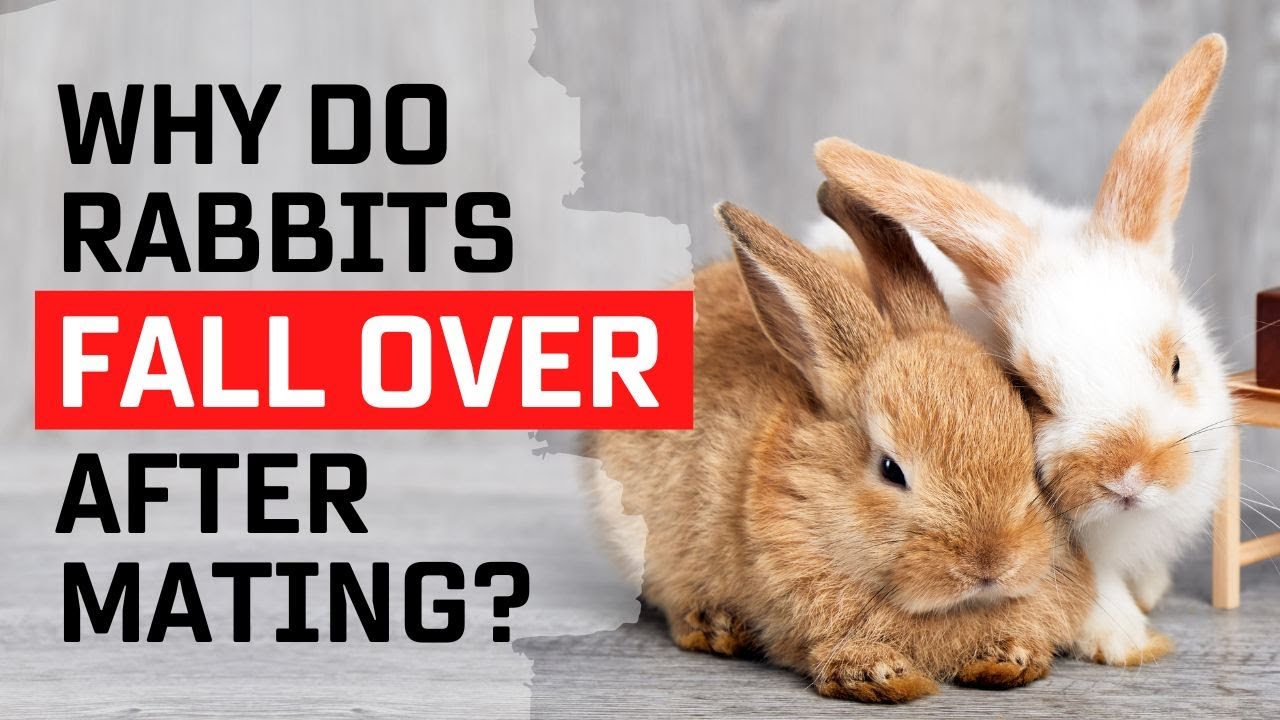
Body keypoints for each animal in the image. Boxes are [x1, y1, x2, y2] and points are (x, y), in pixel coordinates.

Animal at [583, 191, 1093, 703]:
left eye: (1030, 457)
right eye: (890, 469)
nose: (992, 563)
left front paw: (1010, 659)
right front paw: (879, 675)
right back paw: (715, 626)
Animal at [813, 34, 1233, 666]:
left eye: (1178, 363)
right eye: (1029, 391)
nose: (1127, 476)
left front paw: (1149, 596)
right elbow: (1094, 588)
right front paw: (1125, 642)